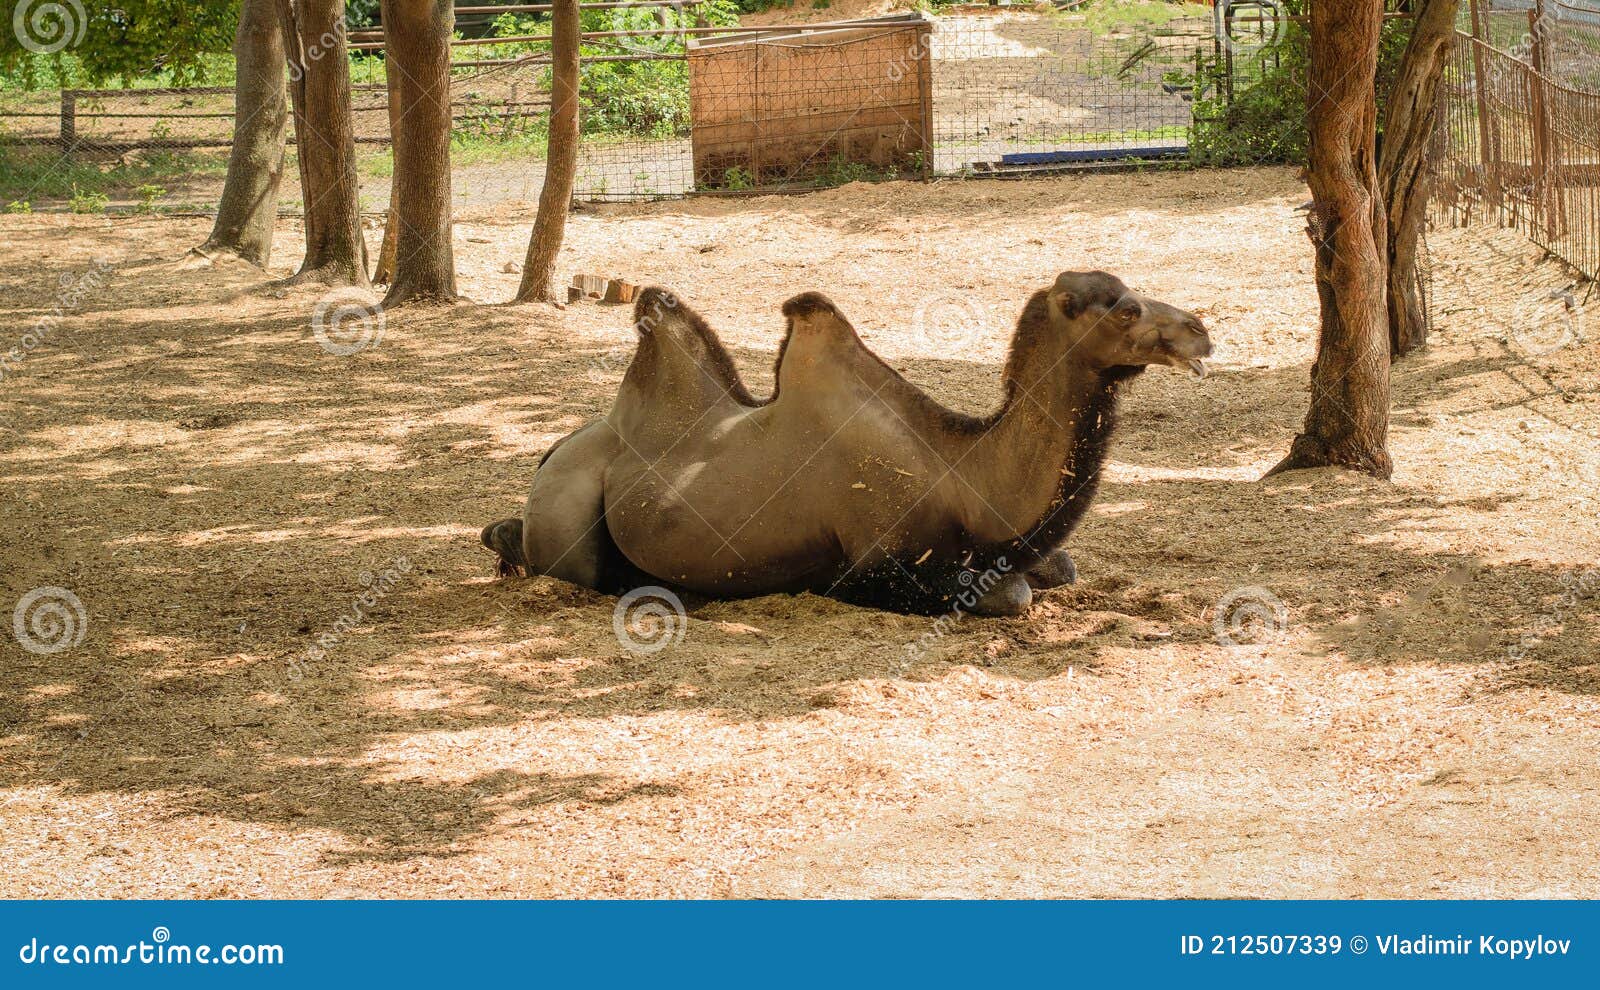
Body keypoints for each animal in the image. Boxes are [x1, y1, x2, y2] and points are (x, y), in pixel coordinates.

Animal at [483, 272, 1212, 616]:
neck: (962, 476)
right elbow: (1011, 595)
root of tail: (555, 452)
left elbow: (1060, 567)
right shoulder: (872, 562)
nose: (1201, 330)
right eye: (1125, 309)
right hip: (570, 529)